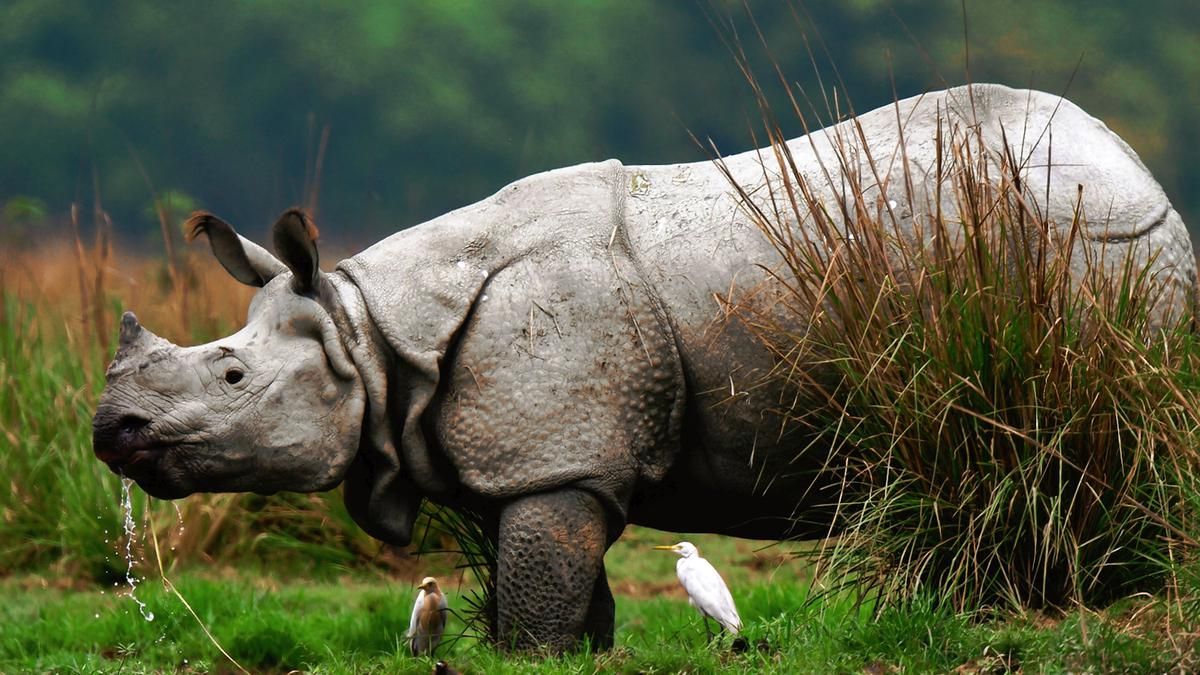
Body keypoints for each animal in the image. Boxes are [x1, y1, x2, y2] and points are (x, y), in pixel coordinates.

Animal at [93, 84, 1196, 650]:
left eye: (231, 378)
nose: (112, 432)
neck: (368, 332)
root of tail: (1141, 171)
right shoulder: (546, 452)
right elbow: (553, 575)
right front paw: (582, 654)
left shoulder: (558, 455)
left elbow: (538, 582)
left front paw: (532, 657)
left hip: (1091, 249)